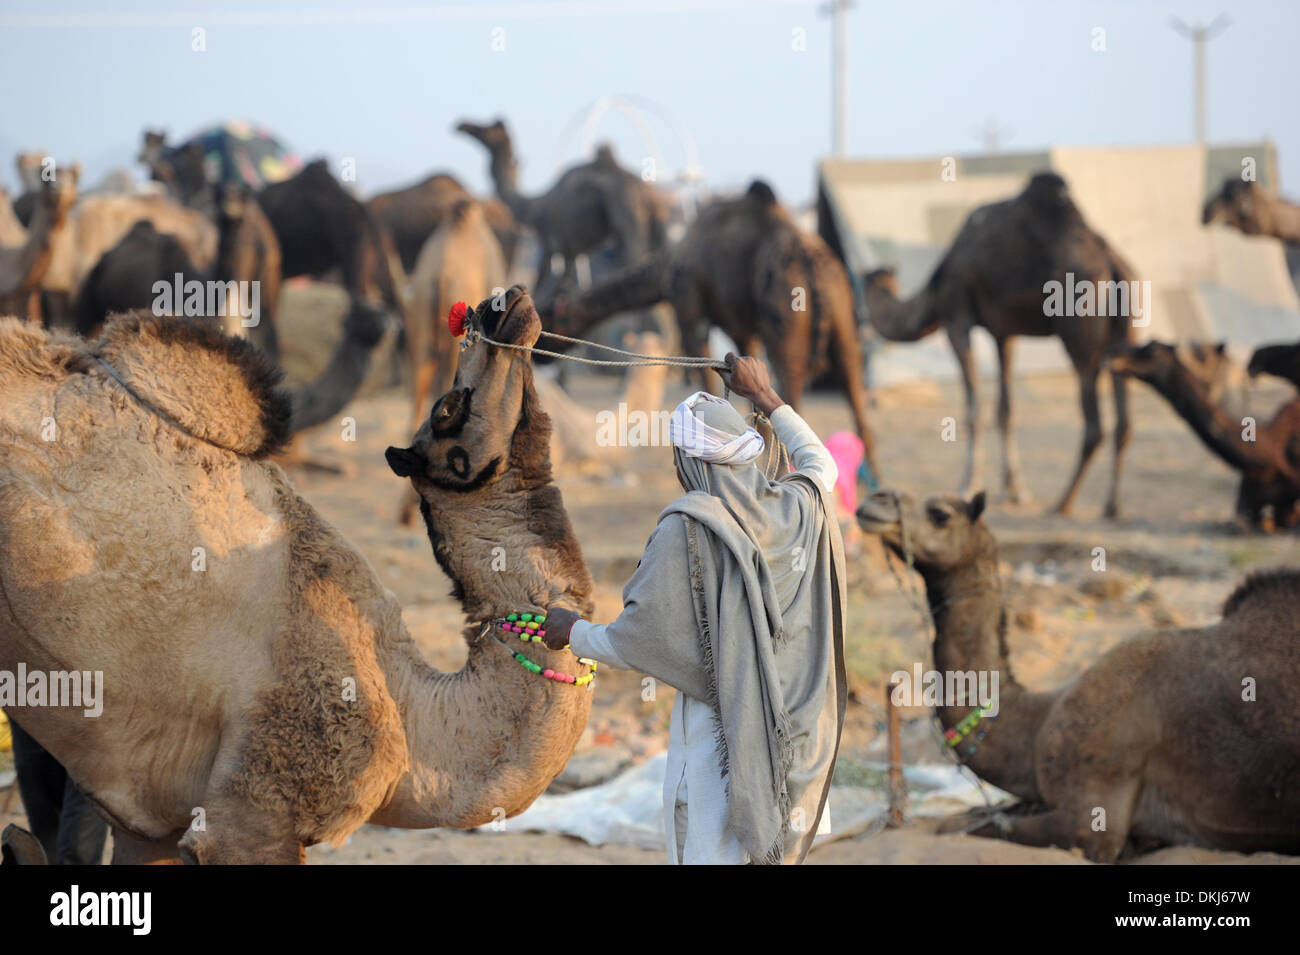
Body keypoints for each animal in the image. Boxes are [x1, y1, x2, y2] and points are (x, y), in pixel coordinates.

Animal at [457, 118, 669, 290]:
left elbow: (539, 285)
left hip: (628, 219)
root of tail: (651, 197)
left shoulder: (549, 245)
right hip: (657, 225)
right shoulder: (570, 254)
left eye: (487, 128)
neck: (533, 206)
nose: (461, 125)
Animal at [542, 180, 879, 481]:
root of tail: (813, 264)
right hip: (843, 308)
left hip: (786, 314)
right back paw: (871, 478)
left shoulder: (689, 311)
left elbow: (705, 374)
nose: (540, 356)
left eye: (548, 316)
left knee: (792, 380)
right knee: (853, 381)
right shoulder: (740, 325)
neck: (668, 266)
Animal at [856, 487, 1300, 861]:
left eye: (940, 514)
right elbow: (965, 819)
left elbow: (980, 827)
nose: (875, 500)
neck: (1039, 721)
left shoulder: (1092, 813)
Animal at [862, 172, 1136, 517]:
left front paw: (968, 486)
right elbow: (1006, 410)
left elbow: (973, 410)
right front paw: (1015, 490)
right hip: (1124, 334)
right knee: (1124, 421)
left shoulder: (957, 318)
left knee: (1094, 423)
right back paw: (1111, 507)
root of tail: (1114, 265)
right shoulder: (1004, 333)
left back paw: (1063, 503)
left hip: (1080, 335)